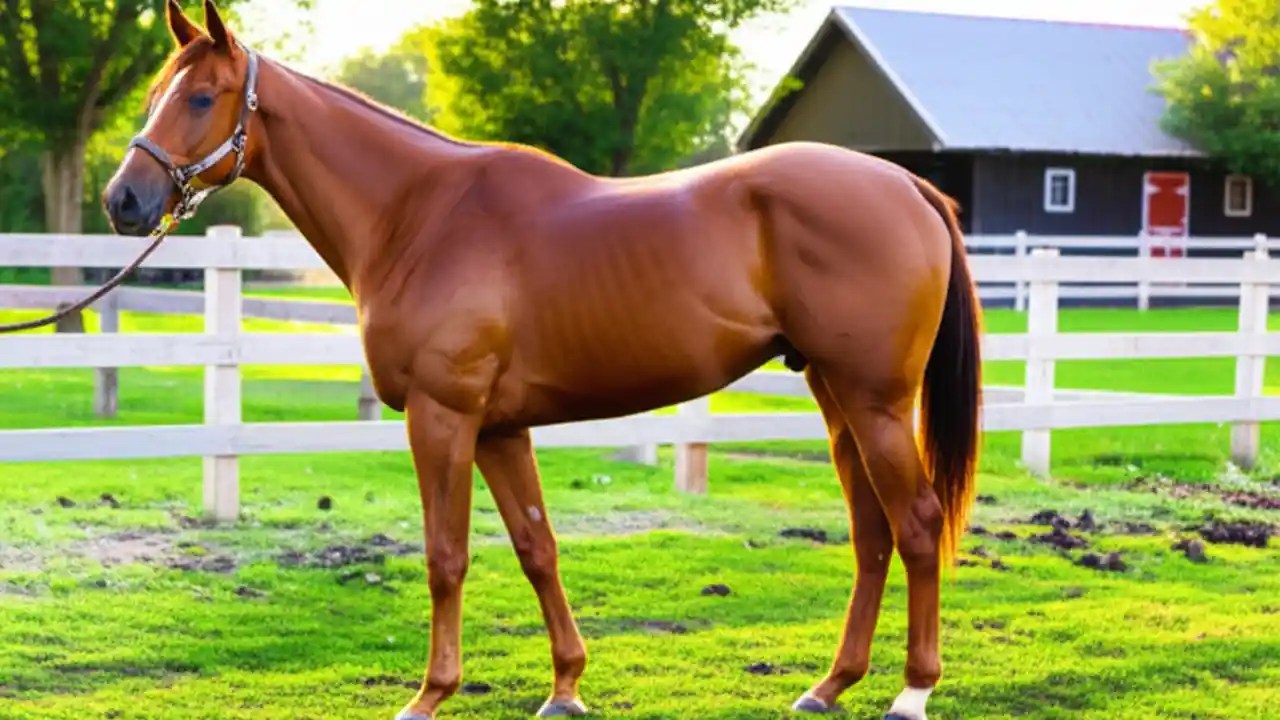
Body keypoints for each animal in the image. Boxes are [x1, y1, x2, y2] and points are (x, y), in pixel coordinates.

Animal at [102, 2, 983, 718]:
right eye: (155, 97)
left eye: (202, 98)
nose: (124, 201)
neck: (419, 214)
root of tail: (906, 183)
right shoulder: (500, 429)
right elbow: (536, 548)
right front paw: (565, 687)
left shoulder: (444, 418)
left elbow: (446, 556)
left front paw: (430, 695)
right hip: (838, 399)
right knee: (871, 533)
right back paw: (830, 685)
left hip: (874, 401)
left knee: (916, 524)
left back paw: (912, 692)